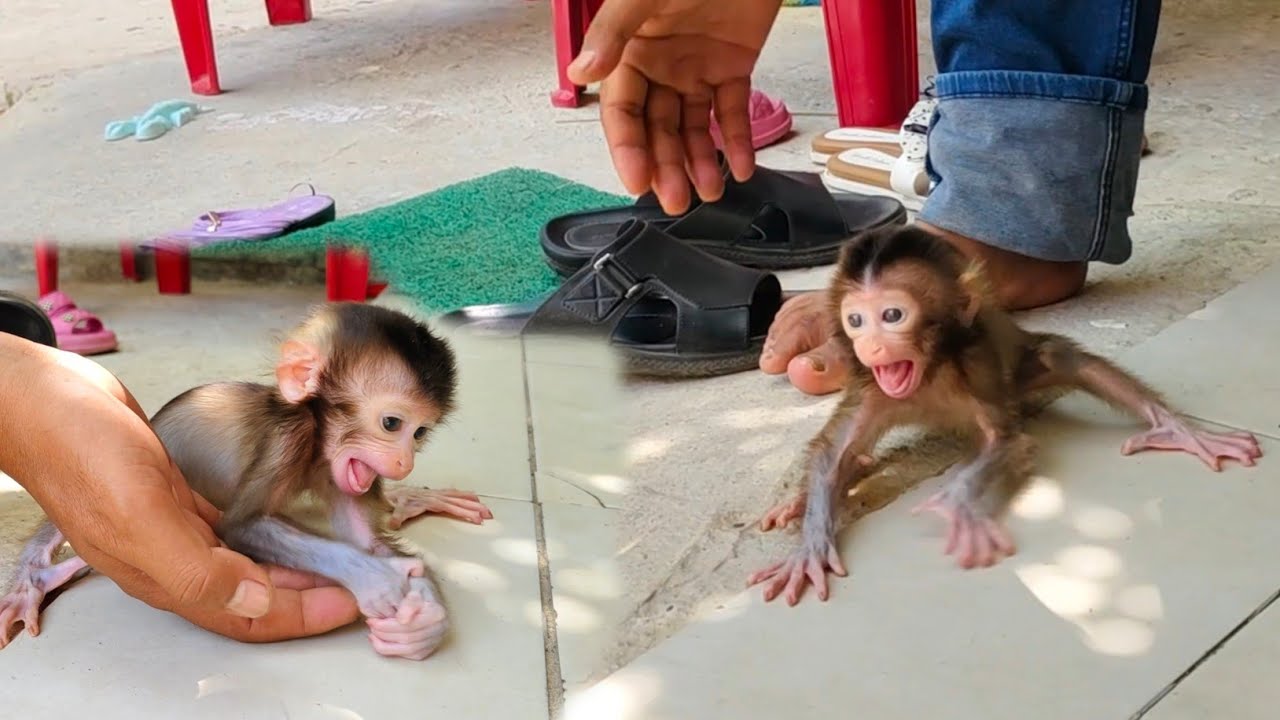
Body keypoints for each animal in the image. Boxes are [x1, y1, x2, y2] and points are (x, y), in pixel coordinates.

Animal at [0, 302, 494, 659]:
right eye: (392, 423)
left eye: (421, 432)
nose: (404, 462)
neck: (317, 443)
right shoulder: (288, 437)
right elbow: (241, 526)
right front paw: (375, 578)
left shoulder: (346, 474)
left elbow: (368, 540)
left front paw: (426, 623)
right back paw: (32, 580)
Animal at [747, 226, 1262, 606]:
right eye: (855, 321)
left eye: (892, 315)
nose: (871, 347)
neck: (930, 371)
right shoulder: (873, 391)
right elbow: (832, 455)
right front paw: (809, 547)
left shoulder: (979, 370)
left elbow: (1006, 442)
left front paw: (957, 501)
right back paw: (804, 499)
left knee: (1059, 357)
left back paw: (1178, 430)